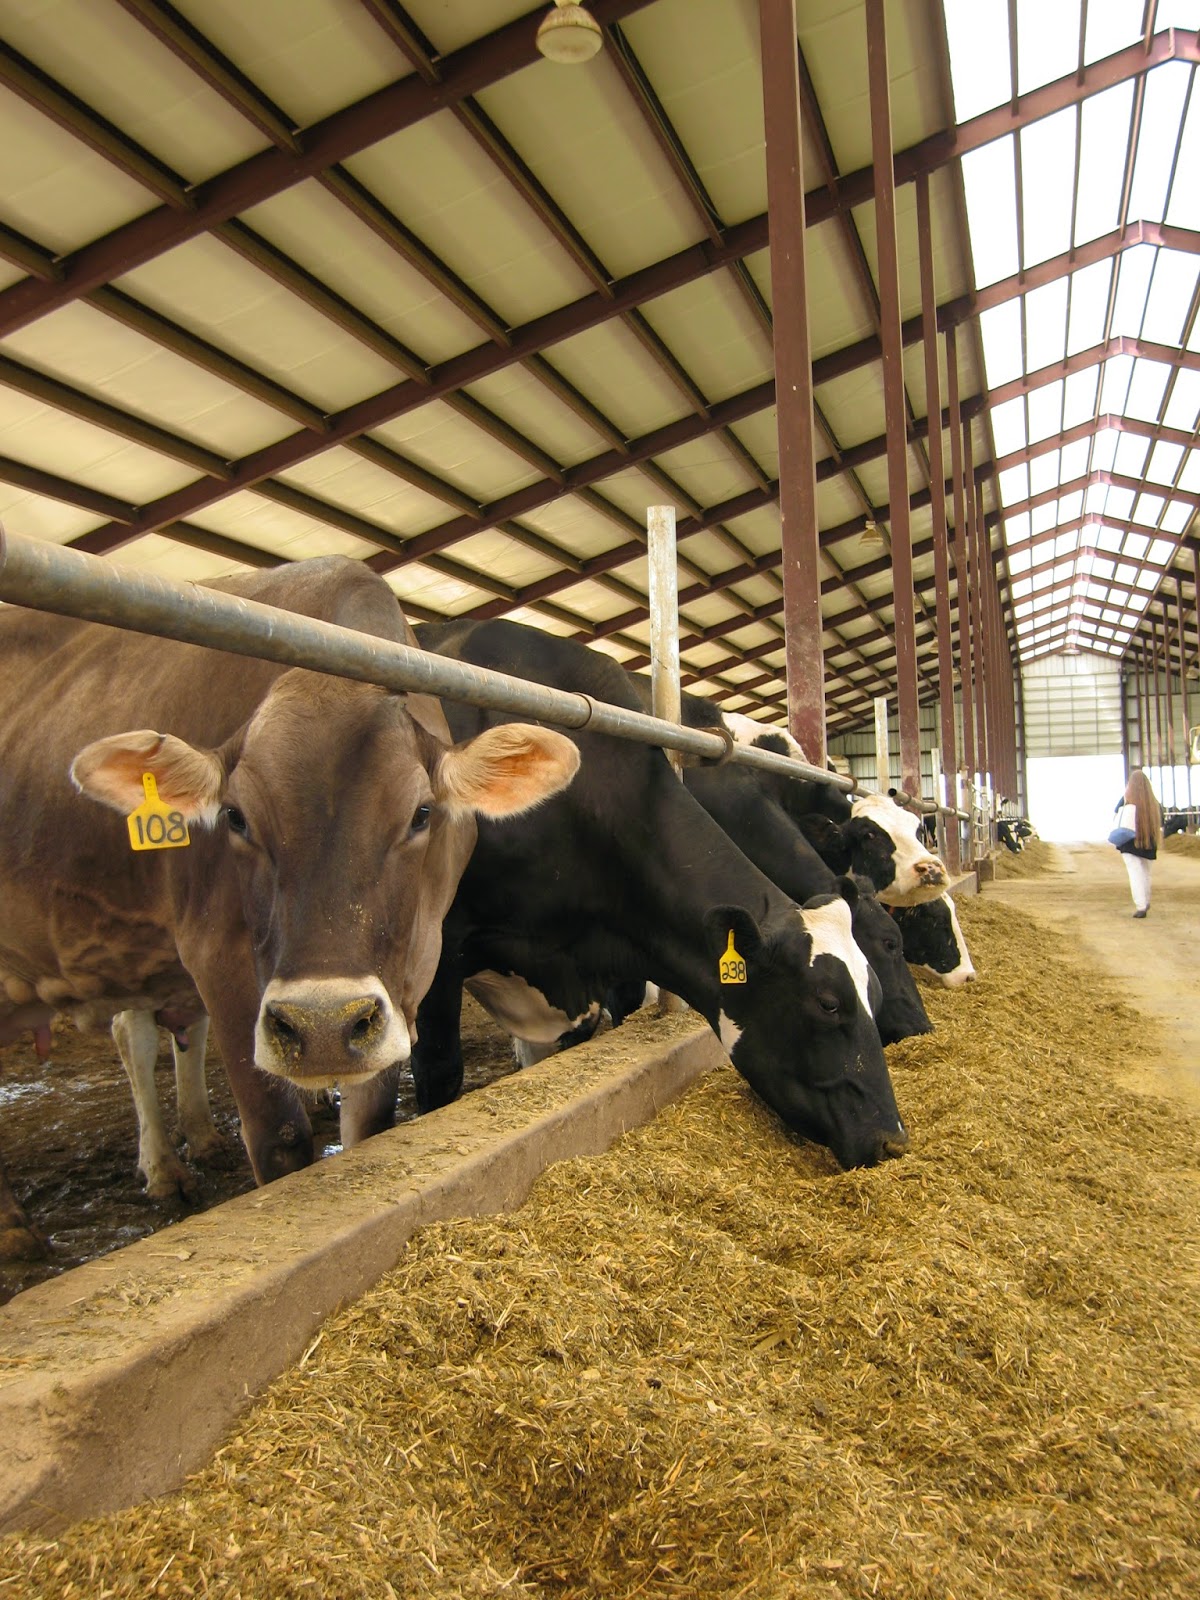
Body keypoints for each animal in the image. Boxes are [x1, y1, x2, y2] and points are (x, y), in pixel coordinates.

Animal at [0, 557, 579, 1257]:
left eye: (421, 813)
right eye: (234, 816)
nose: (321, 1026)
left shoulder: (403, 982)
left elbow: (371, 1121)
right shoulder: (217, 956)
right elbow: (278, 1141)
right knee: (132, 1035)